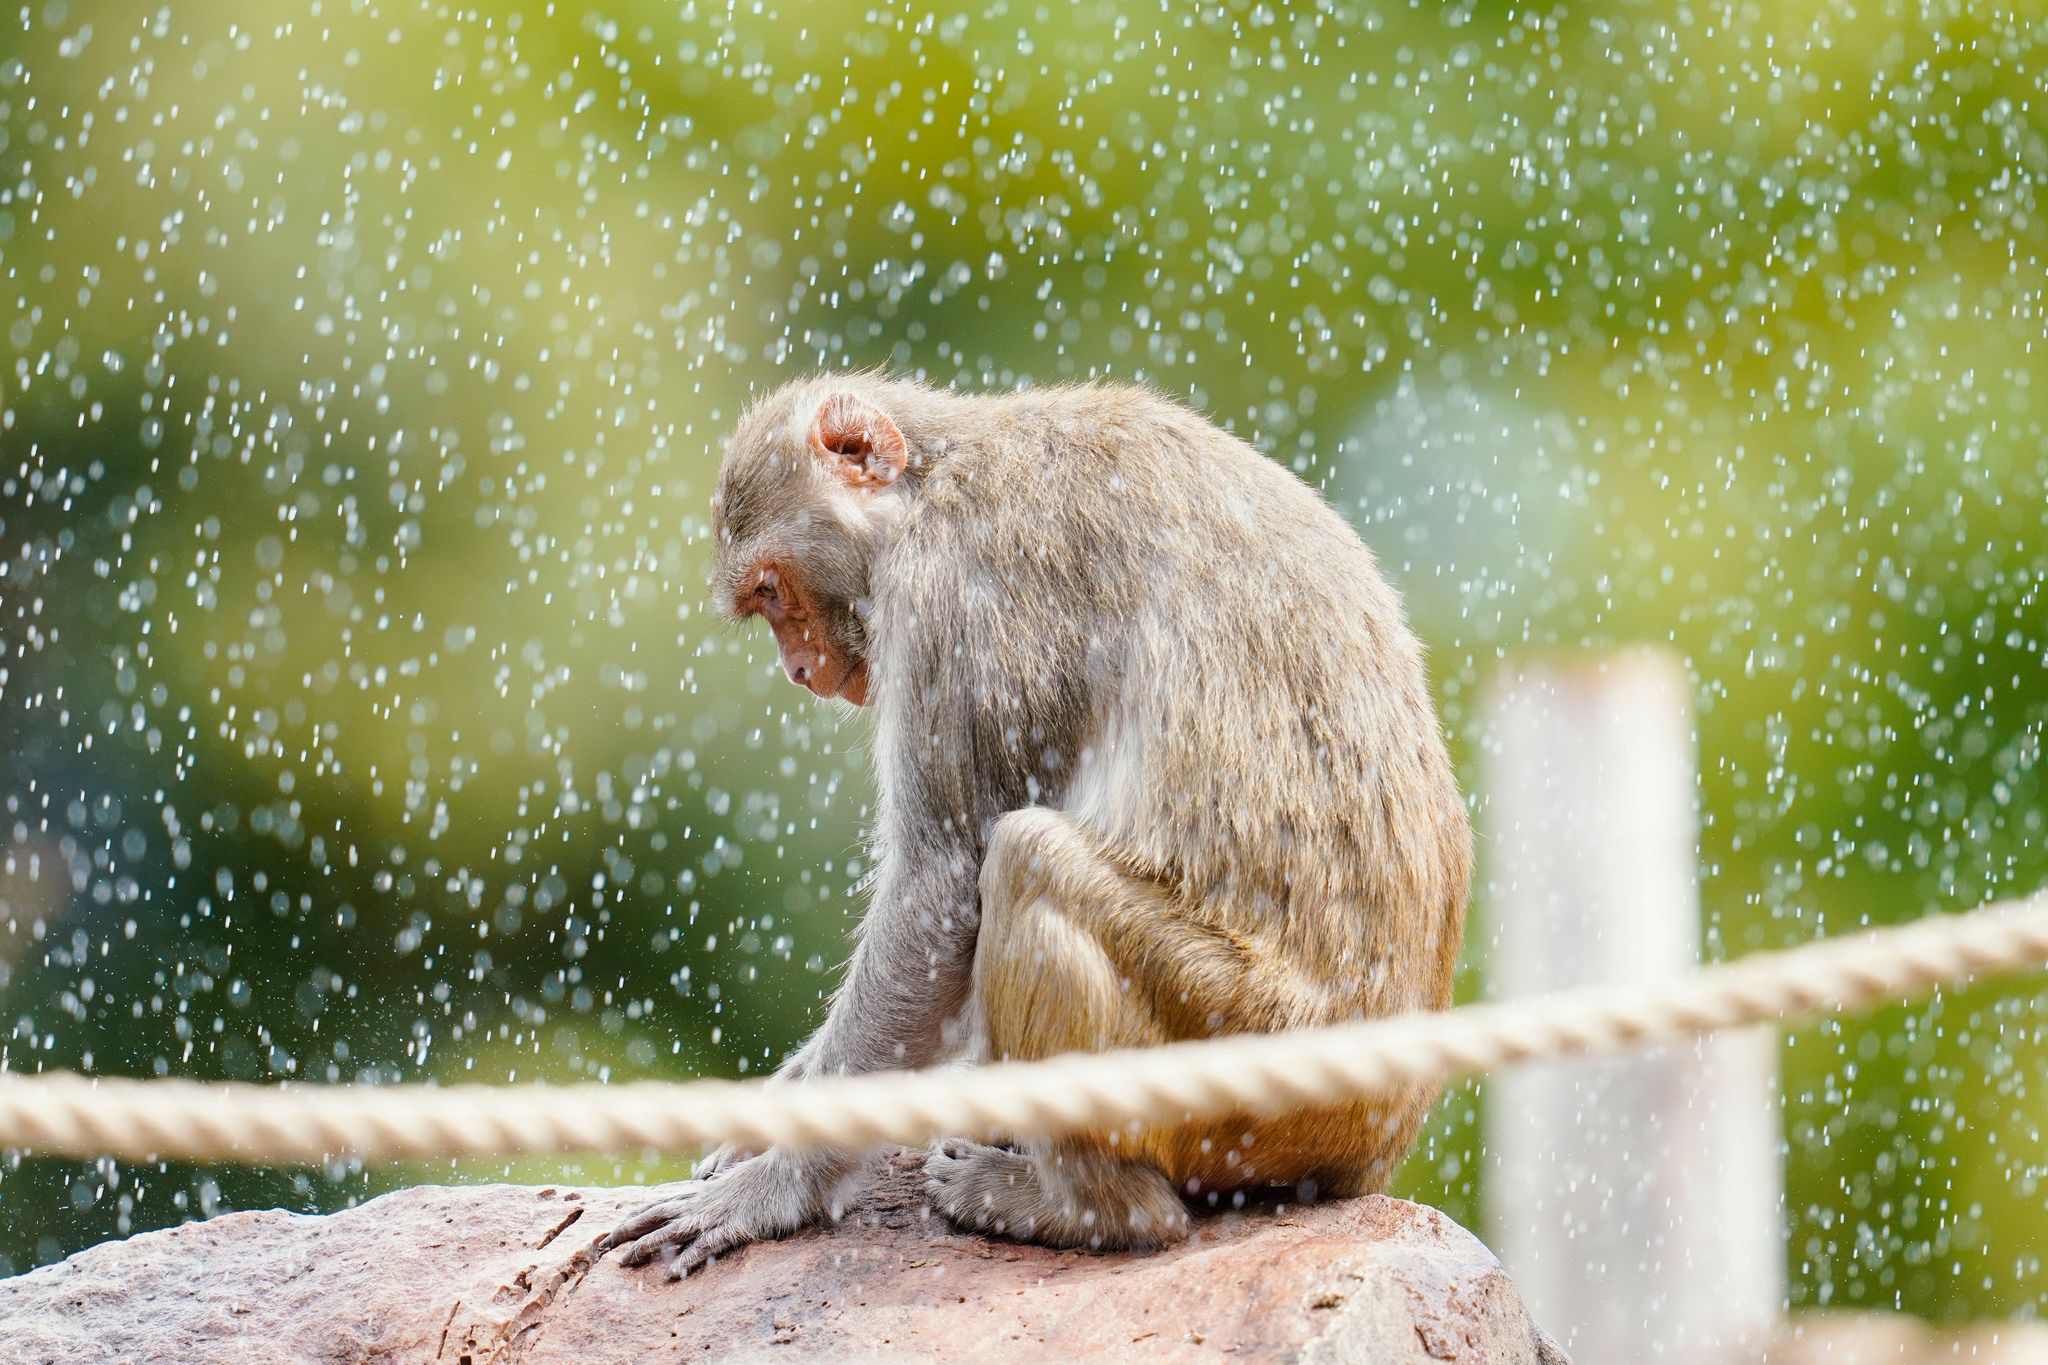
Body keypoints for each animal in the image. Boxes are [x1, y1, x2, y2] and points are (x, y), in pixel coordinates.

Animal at [600, 374, 1470, 1275]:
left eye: (773, 589)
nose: (800, 669)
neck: (933, 479)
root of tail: (1378, 1142)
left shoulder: (961, 603)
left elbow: (939, 890)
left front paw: (775, 1185)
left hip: (1244, 1056)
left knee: (1028, 857)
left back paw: (1089, 1208)